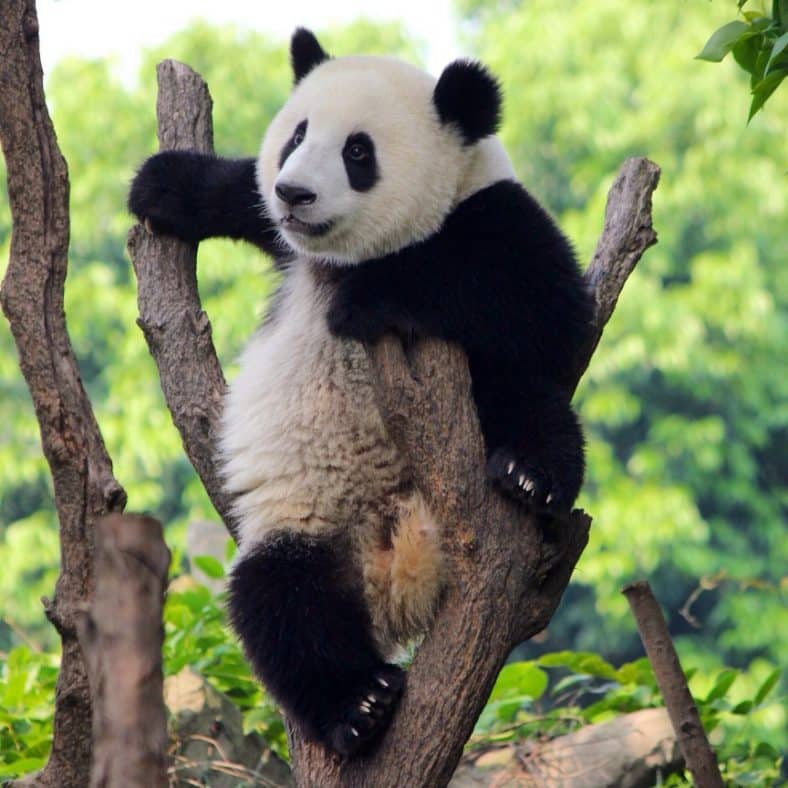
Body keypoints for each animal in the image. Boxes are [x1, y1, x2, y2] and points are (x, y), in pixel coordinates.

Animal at [129, 28, 593, 757]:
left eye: (357, 152)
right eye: (296, 135)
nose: (294, 193)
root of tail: (401, 570)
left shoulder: (494, 218)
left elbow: (550, 306)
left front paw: (362, 300)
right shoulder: (291, 245)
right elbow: (243, 200)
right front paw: (164, 183)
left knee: (531, 403)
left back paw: (530, 476)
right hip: (311, 529)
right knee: (281, 601)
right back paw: (360, 704)